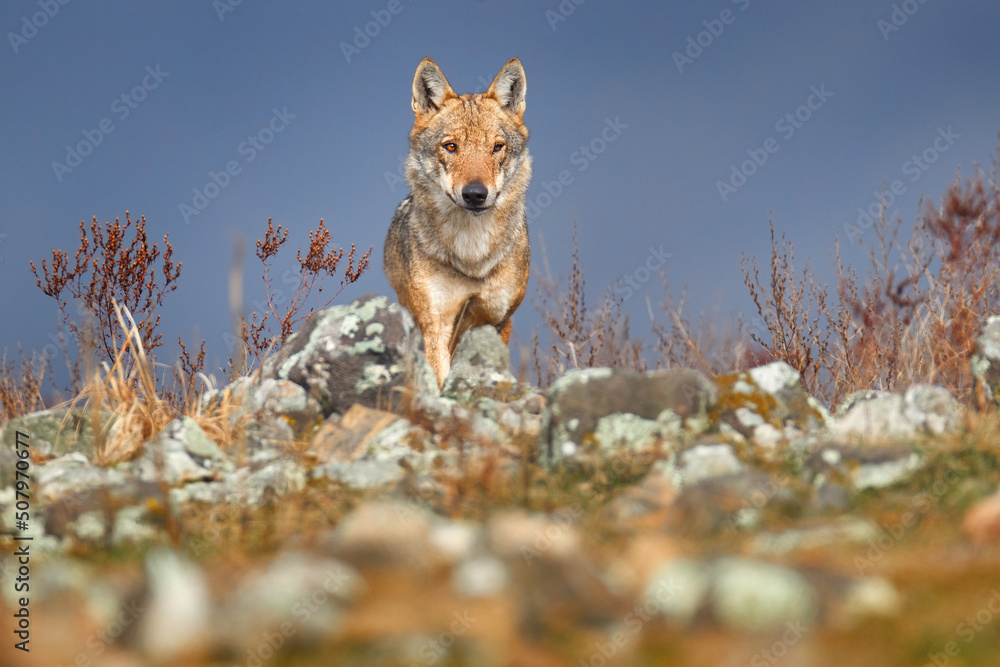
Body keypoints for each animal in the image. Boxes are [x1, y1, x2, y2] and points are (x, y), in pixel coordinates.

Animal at [384, 57, 532, 389]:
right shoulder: (435, 324)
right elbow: (439, 379)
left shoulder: (497, 321)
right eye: (450, 147)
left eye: (497, 147)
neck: (472, 254)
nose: (475, 194)